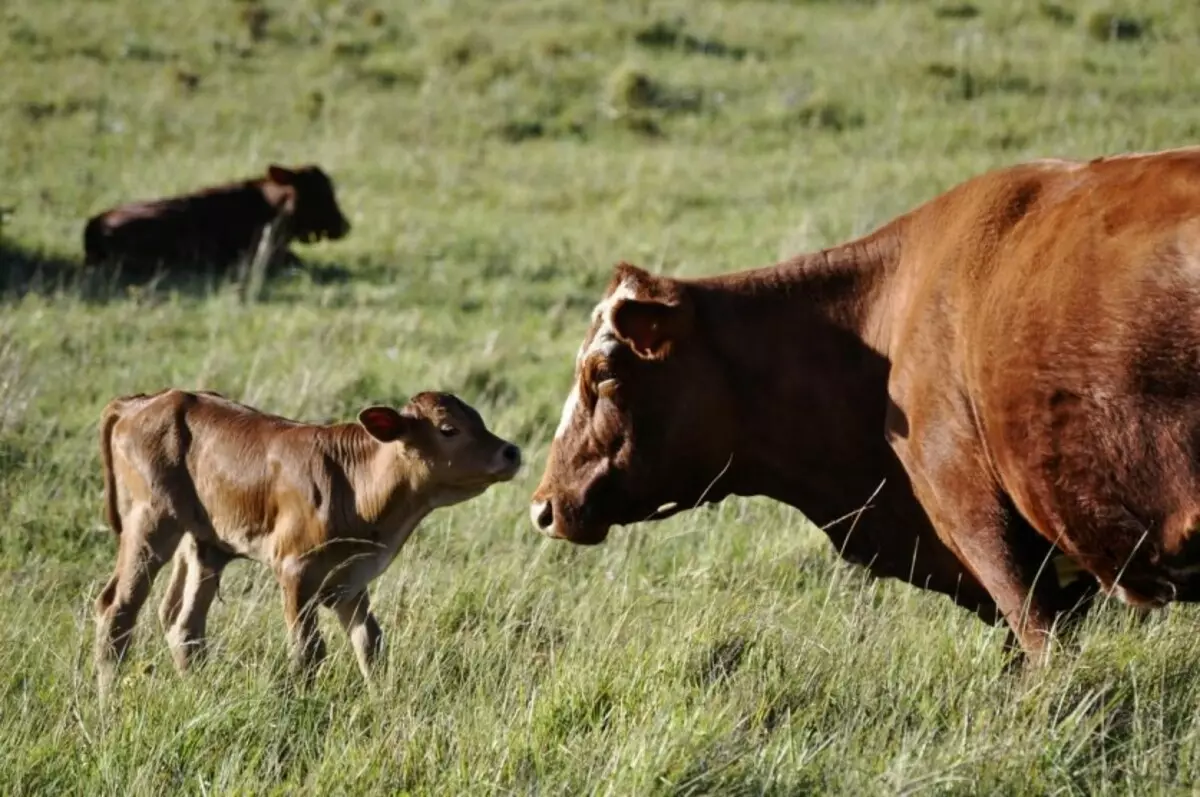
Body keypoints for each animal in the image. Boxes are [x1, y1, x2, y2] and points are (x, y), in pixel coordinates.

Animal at [94, 388, 520, 696]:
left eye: (479, 419)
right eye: (449, 429)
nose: (511, 451)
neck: (357, 486)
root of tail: (144, 401)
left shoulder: (350, 577)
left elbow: (370, 642)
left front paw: (382, 701)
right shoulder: (296, 571)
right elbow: (308, 650)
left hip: (204, 544)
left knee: (184, 625)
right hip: (150, 523)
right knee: (117, 610)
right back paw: (110, 701)